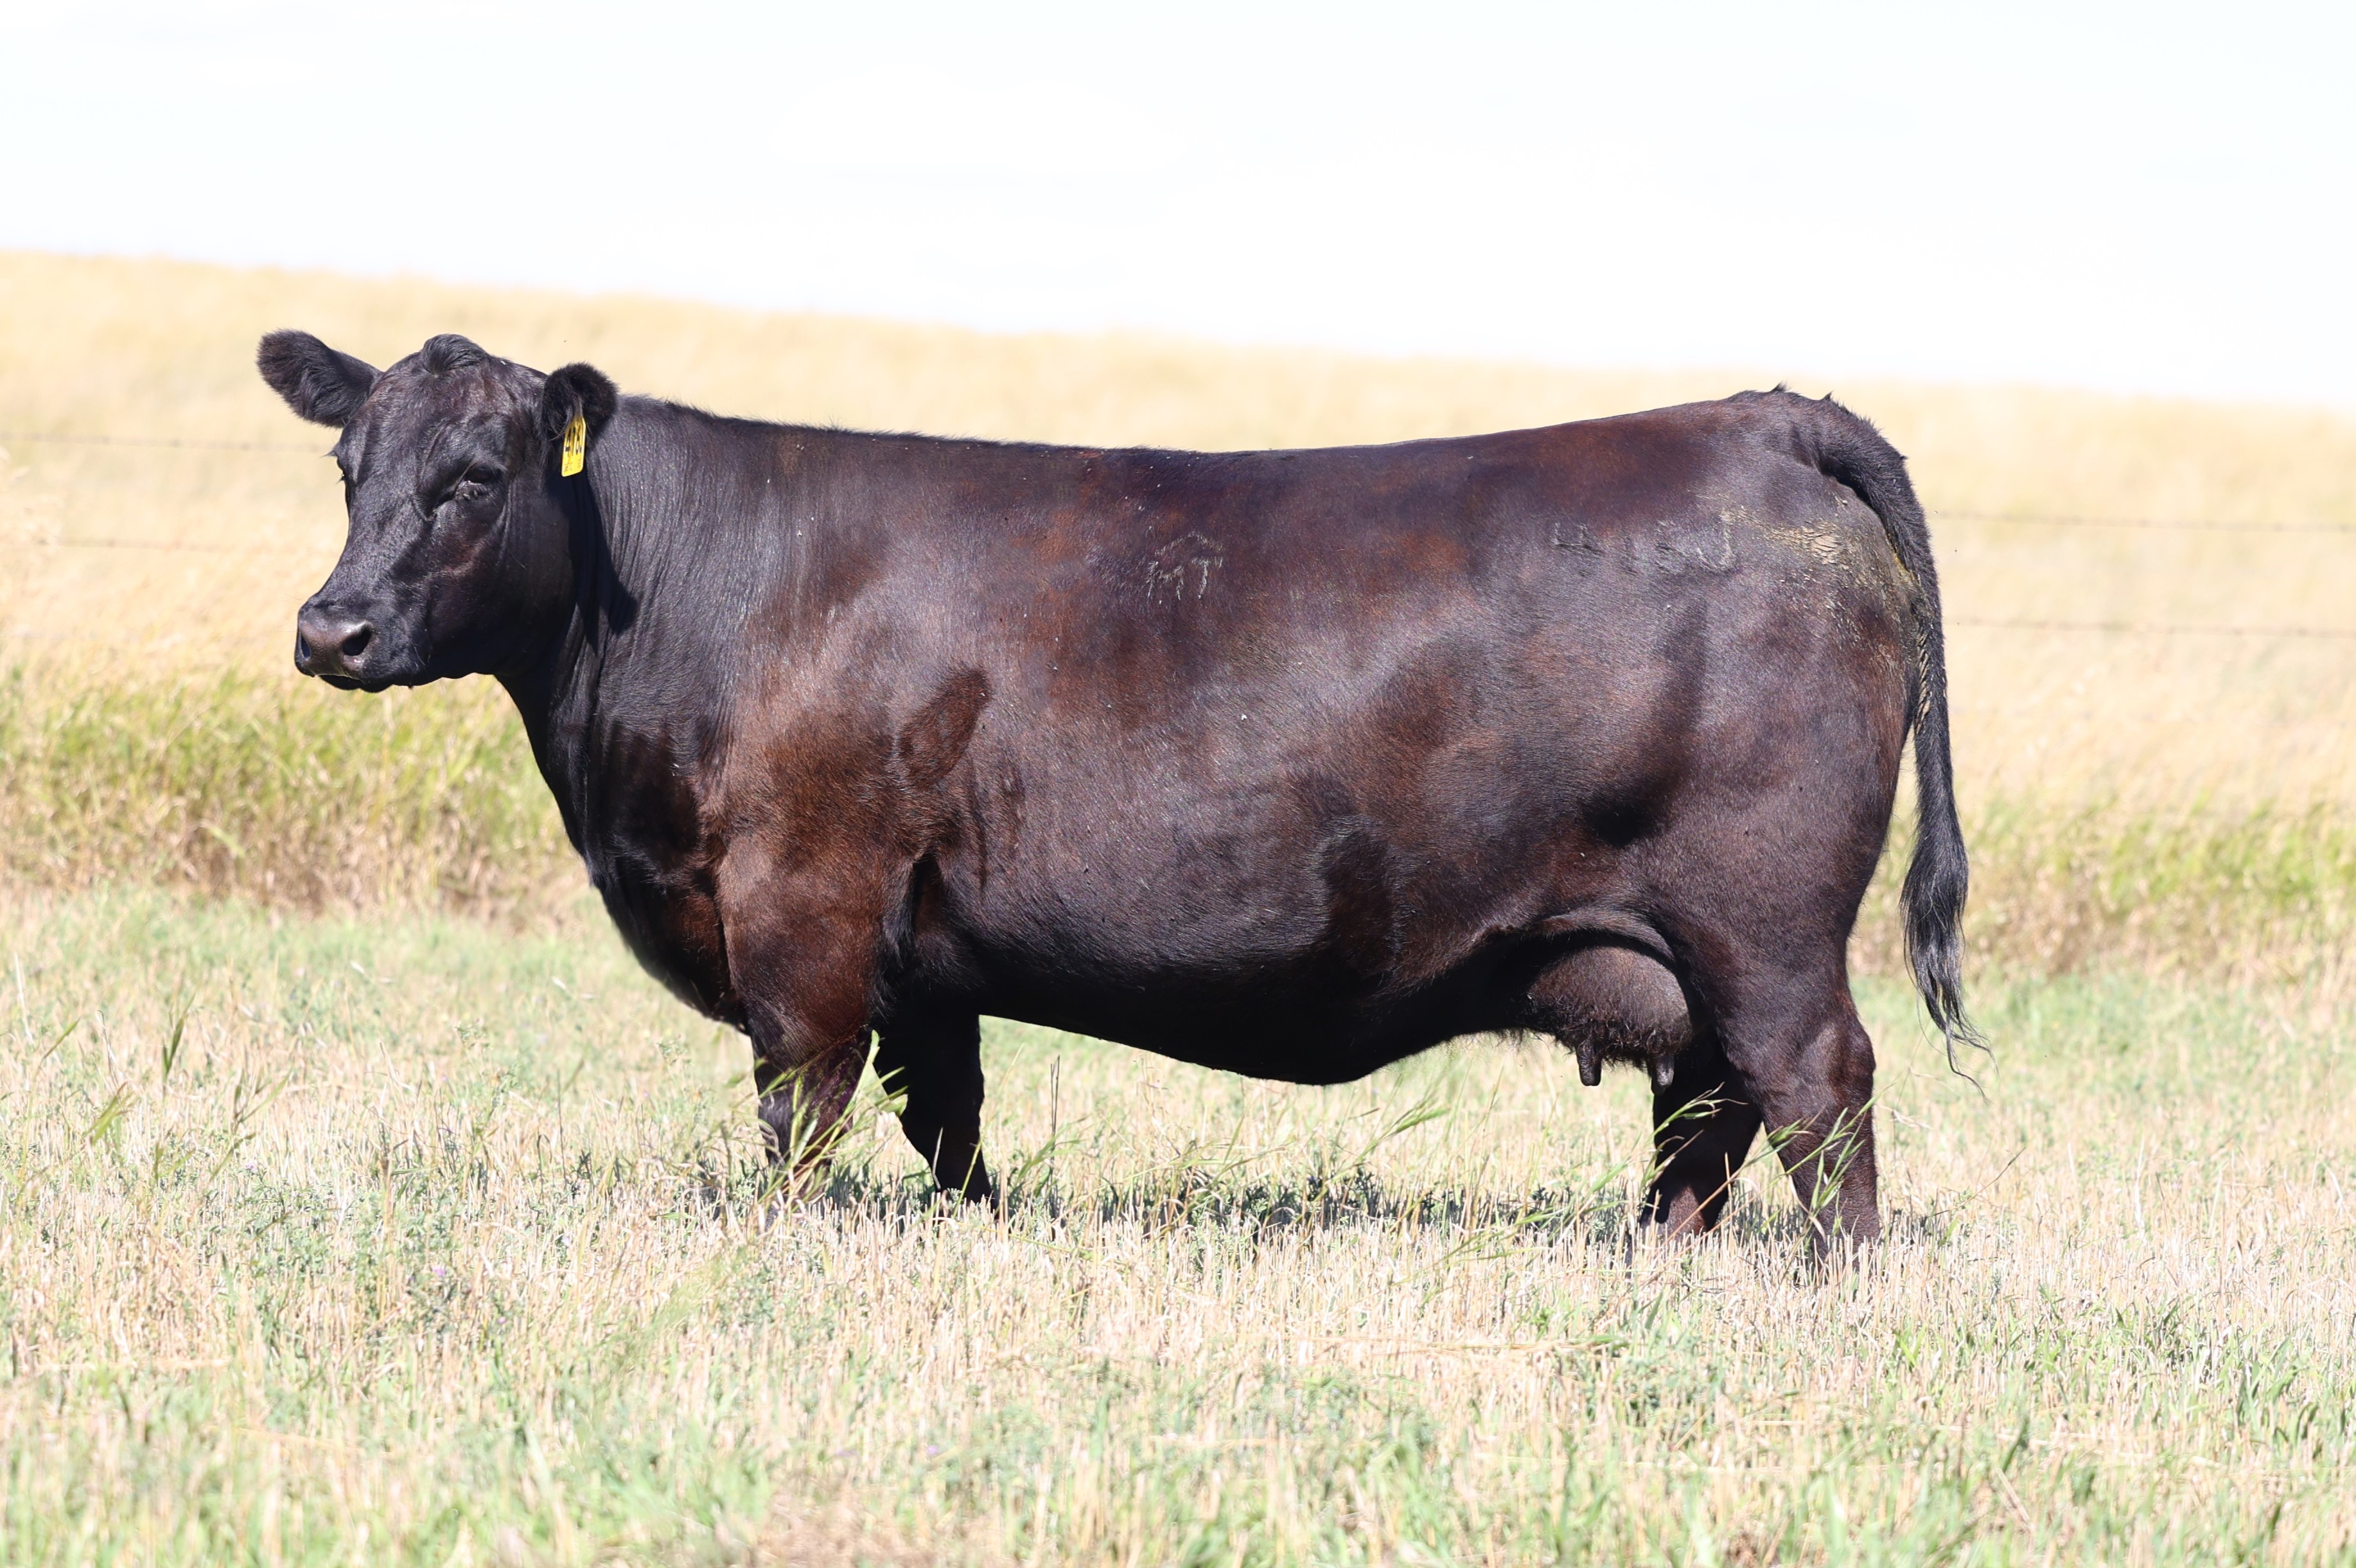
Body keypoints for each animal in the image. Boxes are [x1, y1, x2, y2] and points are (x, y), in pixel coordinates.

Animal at [257, 329, 1974, 1253]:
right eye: (348, 469)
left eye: (475, 479)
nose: (329, 628)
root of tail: (1760, 415)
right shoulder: (919, 955)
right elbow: (943, 1115)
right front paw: (977, 1230)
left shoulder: (803, 905)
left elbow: (802, 1108)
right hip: (1676, 945)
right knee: (1710, 1113)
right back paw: (1657, 1263)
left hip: (1763, 918)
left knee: (1815, 1087)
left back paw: (1833, 1286)